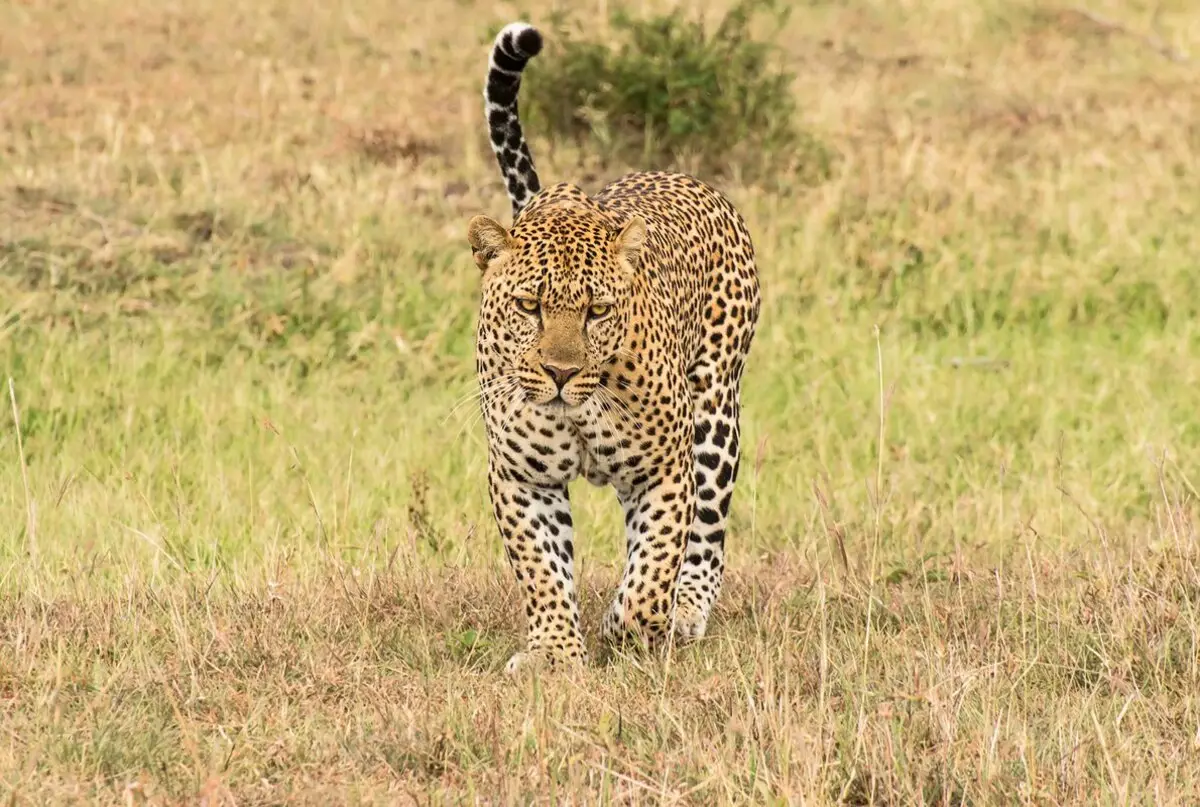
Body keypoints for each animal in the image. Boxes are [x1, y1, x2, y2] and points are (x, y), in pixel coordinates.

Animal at [465, 22, 758, 672]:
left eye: (597, 311)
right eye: (529, 306)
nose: (559, 373)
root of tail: (680, 175)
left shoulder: (665, 469)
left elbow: (655, 563)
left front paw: (630, 626)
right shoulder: (522, 479)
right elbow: (542, 570)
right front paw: (554, 652)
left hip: (716, 411)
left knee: (706, 531)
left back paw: (686, 609)